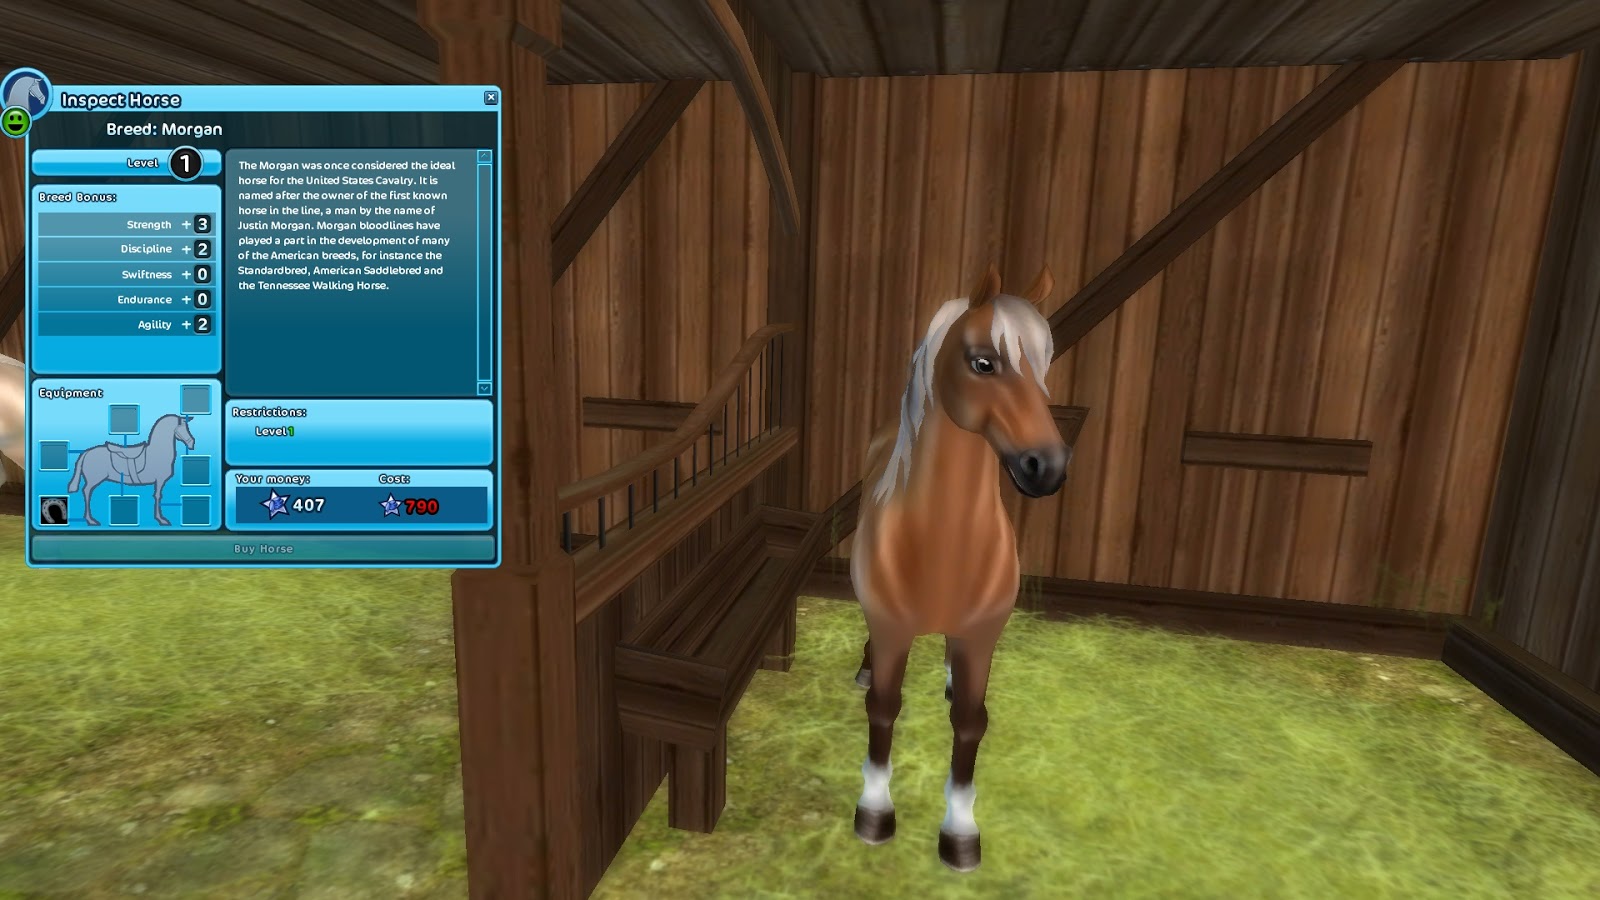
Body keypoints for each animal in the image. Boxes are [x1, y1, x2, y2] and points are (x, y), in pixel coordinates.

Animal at [68, 413, 196, 526]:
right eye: (183, 428)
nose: (192, 443)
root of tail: (86, 452)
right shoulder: (159, 481)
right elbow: (158, 496)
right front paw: (161, 519)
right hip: (94, 480)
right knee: (87, 491)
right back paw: (90, 520)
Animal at [849, 262, 1069, 872]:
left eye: (1047, 362)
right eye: (983, 362)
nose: (1048, 466)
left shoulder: (983, 635)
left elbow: (972, 722)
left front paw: (961, 831)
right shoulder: (892, 628)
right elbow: (883, 709)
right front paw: (874, 812)